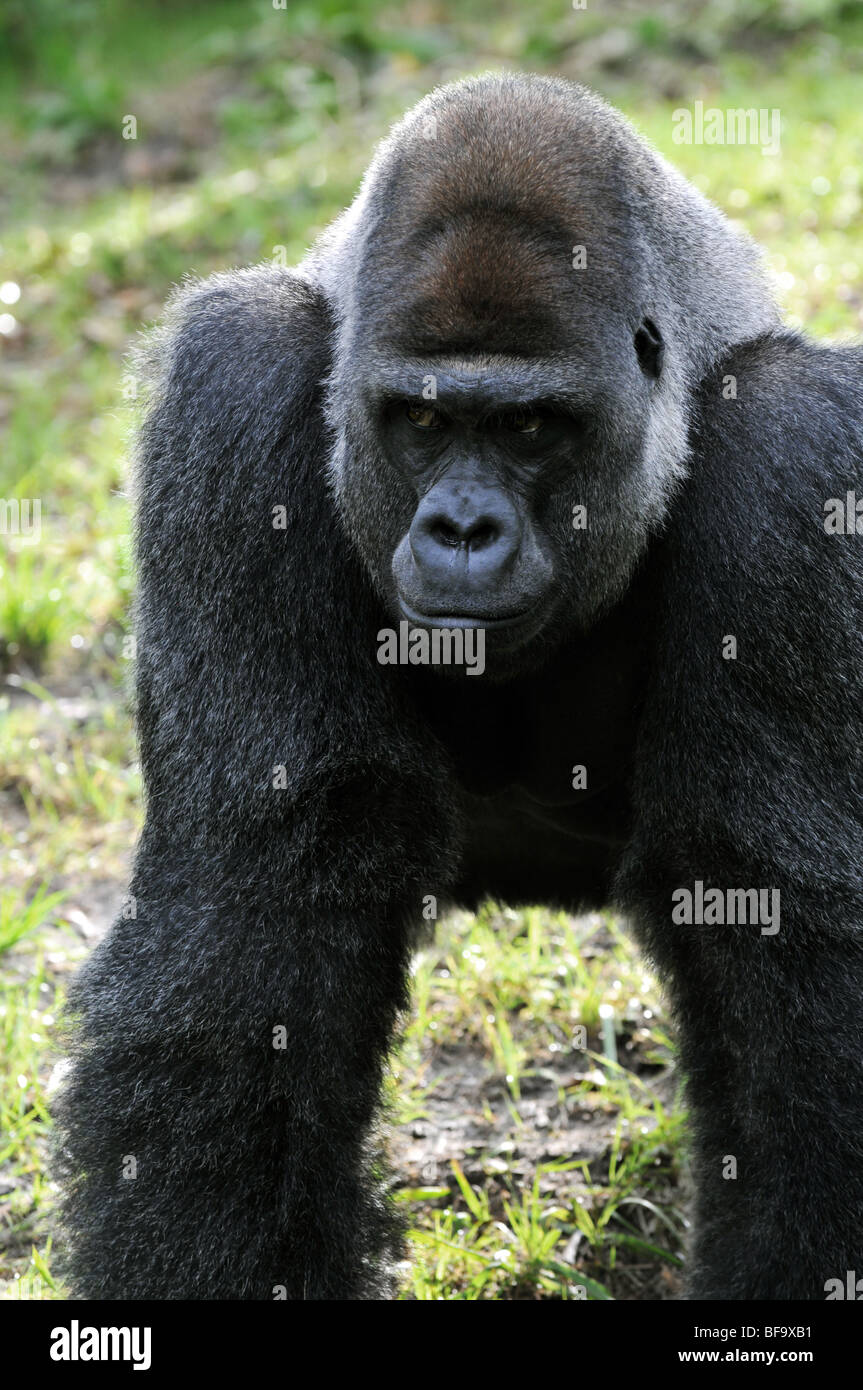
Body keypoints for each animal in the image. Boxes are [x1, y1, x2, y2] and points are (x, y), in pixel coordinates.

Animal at [55, 72, 863, 1300]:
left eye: (529, 426)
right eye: (425, 420)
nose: (462, 528)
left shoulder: (795, 448)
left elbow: (775, 921)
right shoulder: (235, 387)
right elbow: (257, 896)